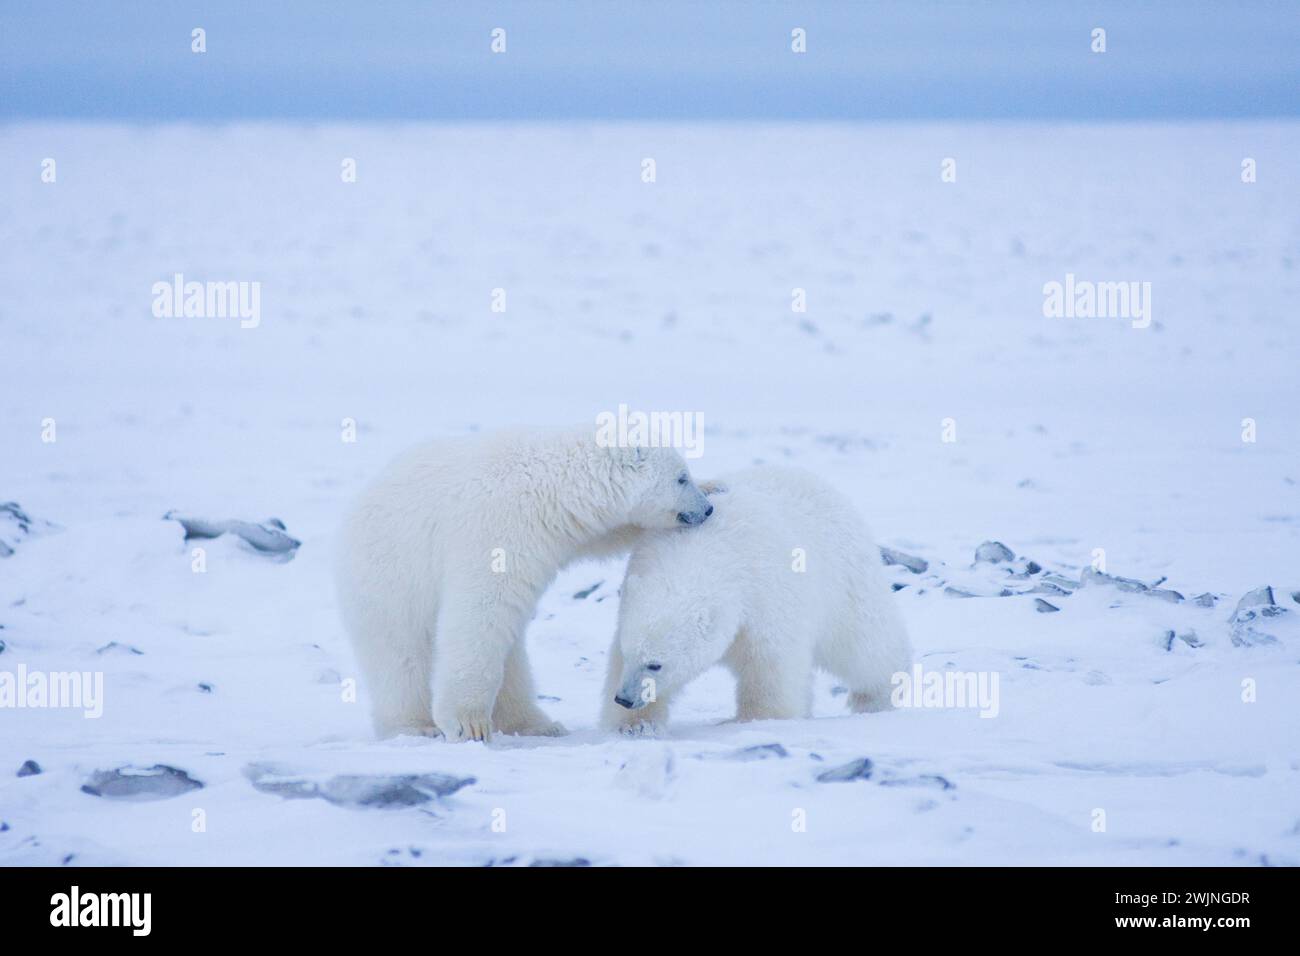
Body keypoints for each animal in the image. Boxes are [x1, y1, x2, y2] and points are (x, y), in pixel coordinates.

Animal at [335, 426, 713, 742]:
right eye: (681, 478)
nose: (706, 510)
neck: (547, 484)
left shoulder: (557, 529)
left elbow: (607, 534)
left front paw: (715, 484)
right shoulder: (497, 532)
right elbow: (477, 616)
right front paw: (469, 725)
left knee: (511, 656)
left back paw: (539, 724)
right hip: (389, 575)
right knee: (400, 656)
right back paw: (413, 726)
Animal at [601, 466, 912, 734]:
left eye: (655, 664)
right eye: (629, 653)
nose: (624, 698)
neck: (697, 552)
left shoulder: (766, 596)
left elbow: (770, 664)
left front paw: (758, 719)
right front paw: (635, 725)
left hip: (844, 577)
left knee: (865, 644)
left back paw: (878, 696)